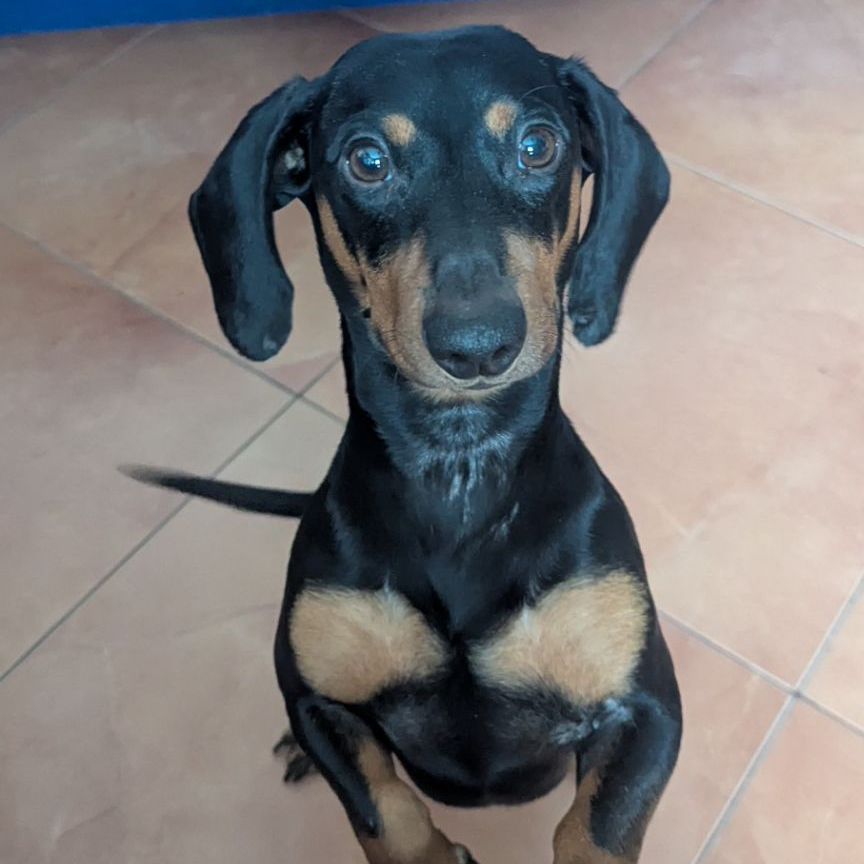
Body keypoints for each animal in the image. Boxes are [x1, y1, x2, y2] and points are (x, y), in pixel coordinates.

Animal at [130, 25, 681, 863]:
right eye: (367, 160)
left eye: (538, 145)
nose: (477, 343)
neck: (457, 467)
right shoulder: (317, 700)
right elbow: (385, 811)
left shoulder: (648, 711)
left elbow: (592, 829)